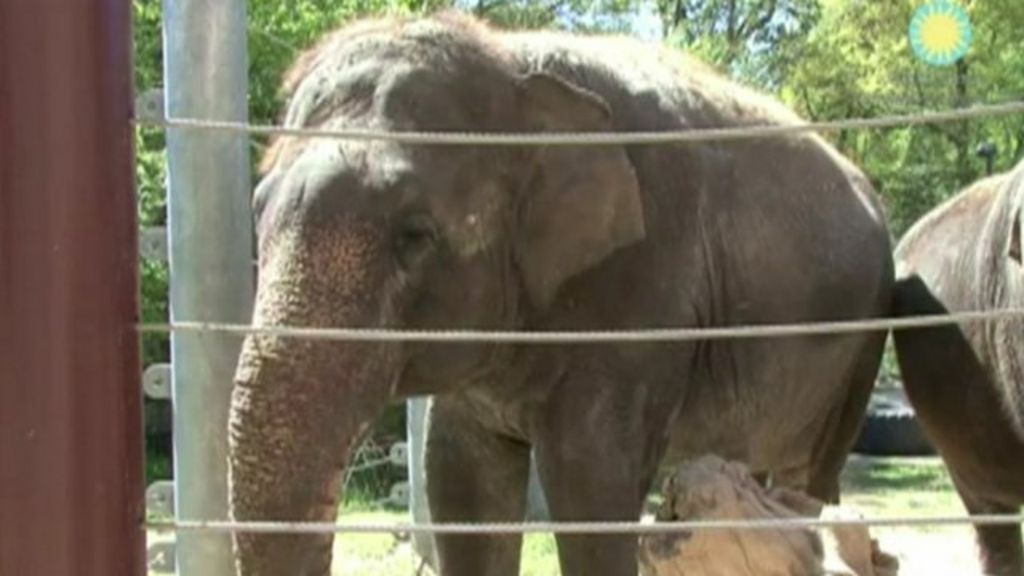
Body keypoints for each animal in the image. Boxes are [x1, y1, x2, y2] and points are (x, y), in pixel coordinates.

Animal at [226, 11, 895, 576]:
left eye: (414, 235)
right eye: (256, 210)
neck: (509, 60)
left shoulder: (642, 289)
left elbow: (587, 485)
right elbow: (461, 481)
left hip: (863, 340)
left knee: (806, 476)